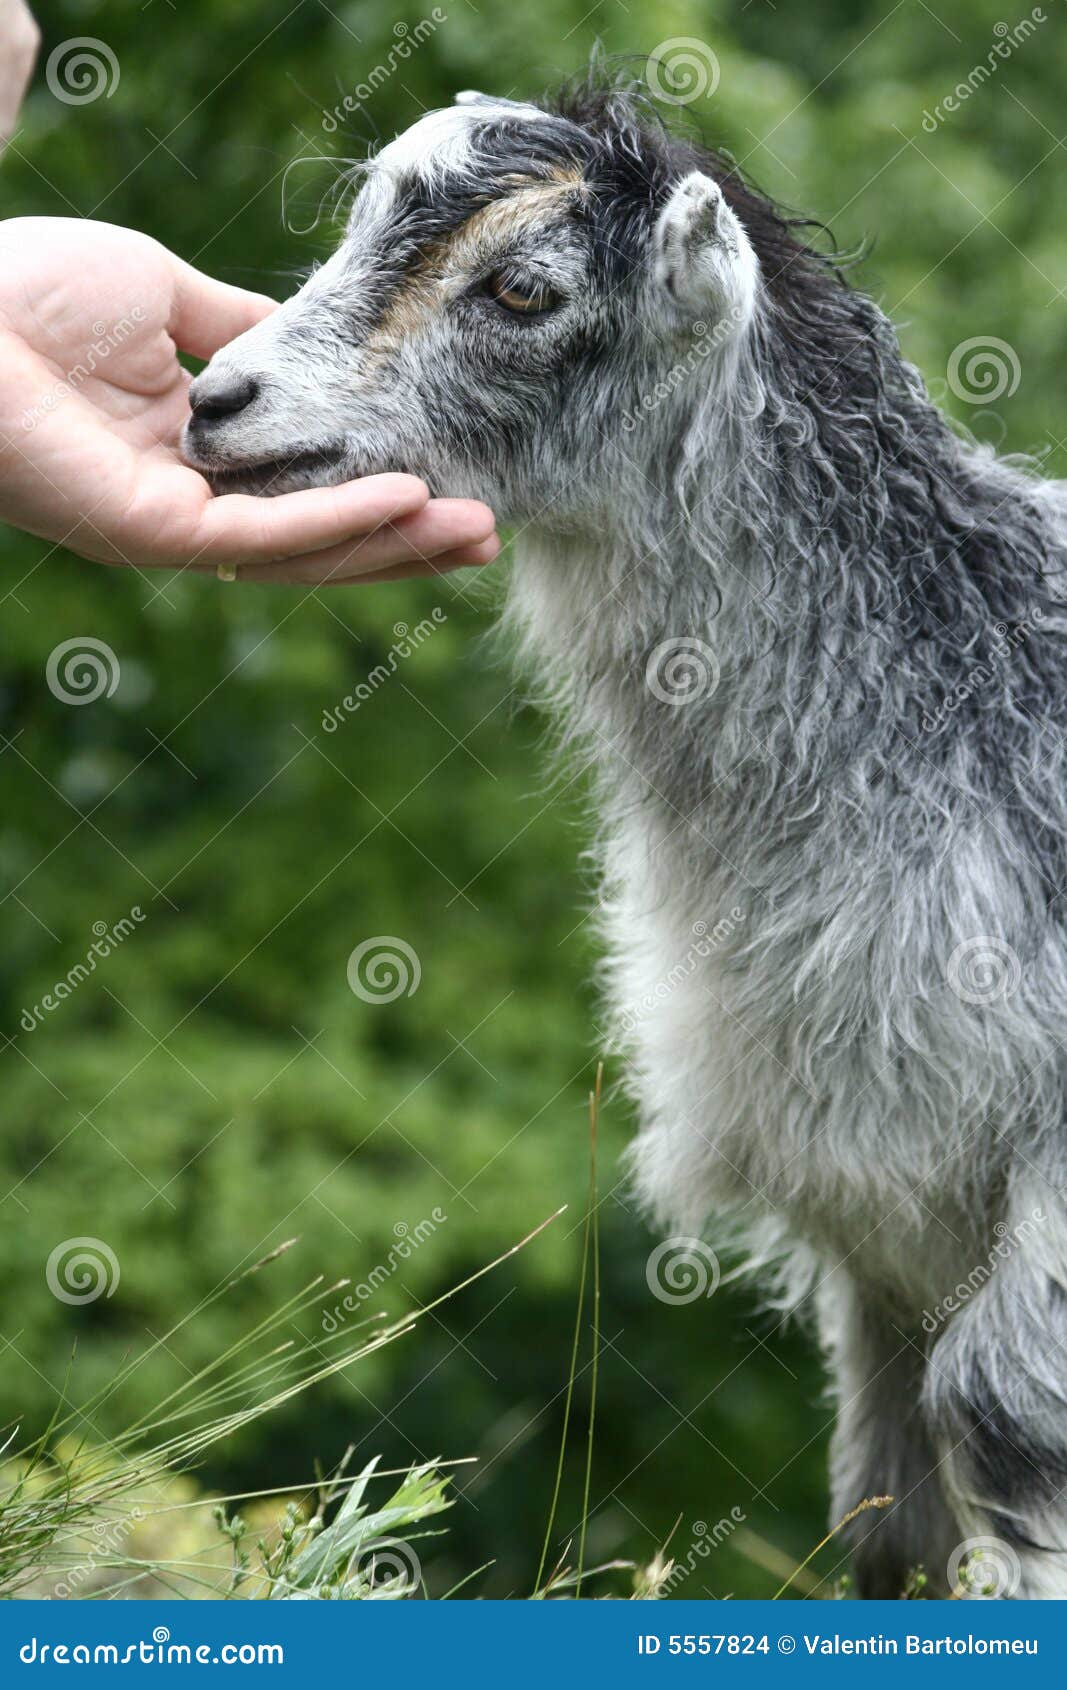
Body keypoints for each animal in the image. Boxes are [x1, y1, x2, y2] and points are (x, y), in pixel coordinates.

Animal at [182, 78, 1067, 1599]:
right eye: (359, 225)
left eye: (522, 290)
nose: (214, 400)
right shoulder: (881, 1217)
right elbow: (882, 1507)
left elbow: (997, 1416)